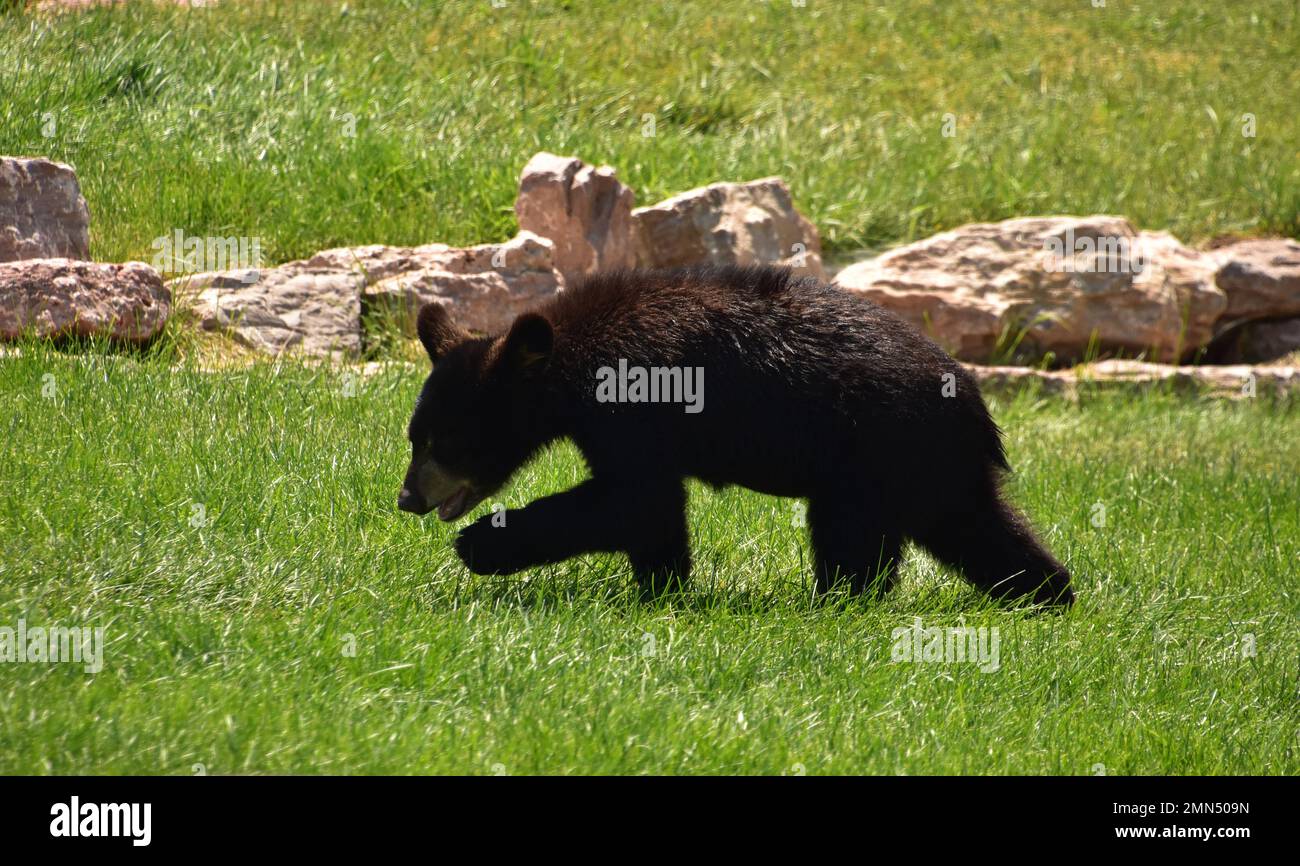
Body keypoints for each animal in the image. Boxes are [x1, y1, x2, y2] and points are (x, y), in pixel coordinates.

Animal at [399, 265, 1074, 606]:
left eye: (443, 442)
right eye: (415, 437)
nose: (407, 498)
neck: (571, 360)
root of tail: (975, 404)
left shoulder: (635, 409)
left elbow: (634, 500)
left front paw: (483, 544)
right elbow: (650, 511)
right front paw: (662, 589)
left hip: (880, 451)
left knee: (855, 535)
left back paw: (837, 604)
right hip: (924, 465)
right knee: (975, 525)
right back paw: (1045, 592)